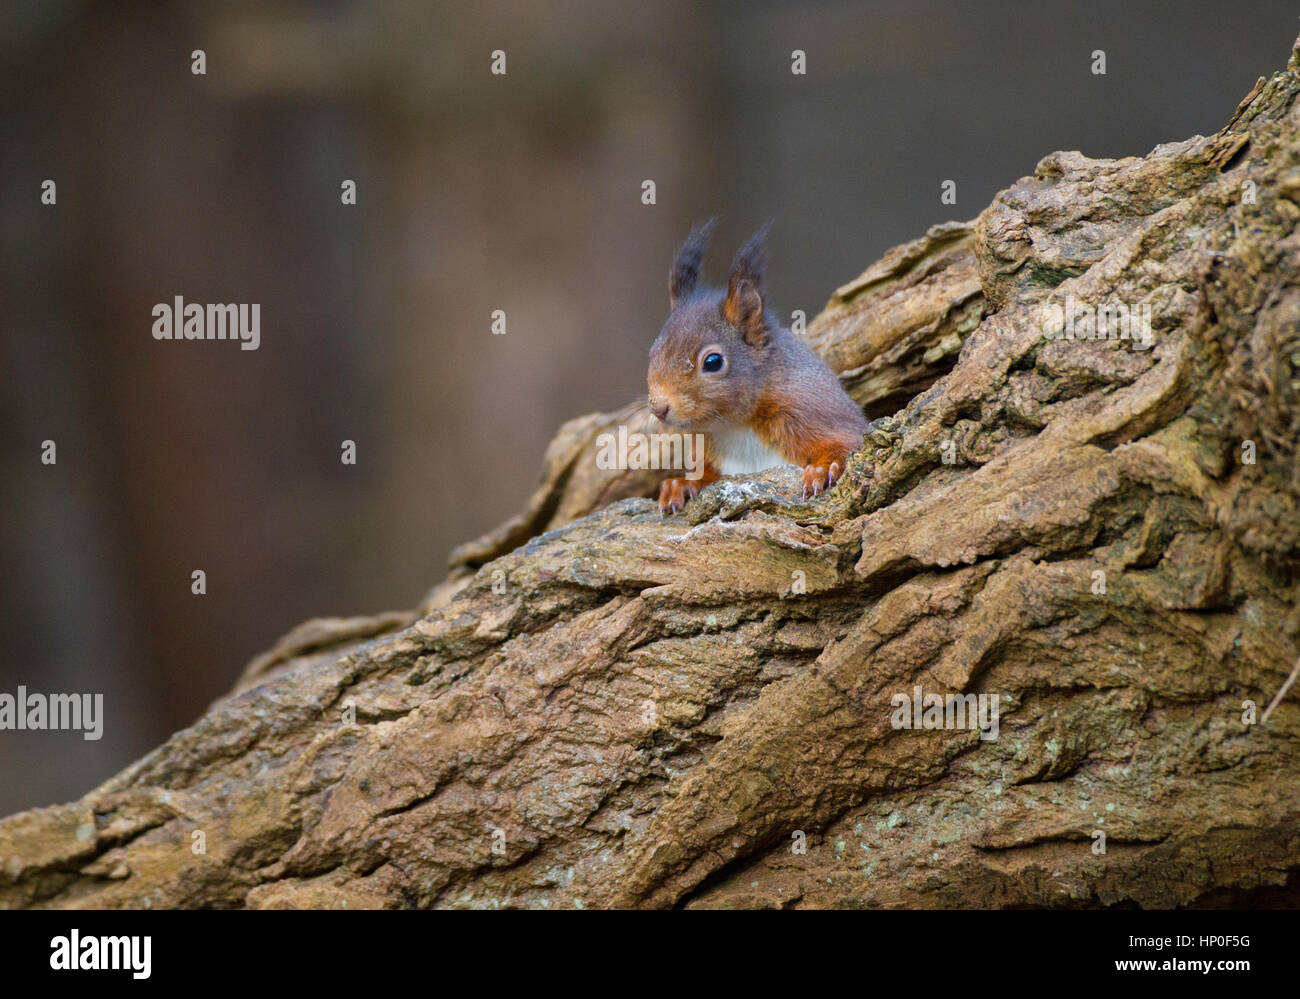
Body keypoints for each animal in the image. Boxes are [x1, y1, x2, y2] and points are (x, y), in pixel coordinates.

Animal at [647, 219, 868, 514]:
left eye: (713, 362)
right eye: (652, 352)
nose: (659, 408)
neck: (734, 425)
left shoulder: (812, 412)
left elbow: (847, 443)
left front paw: (822, 469)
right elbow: (706, 475)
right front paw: (679, 485)